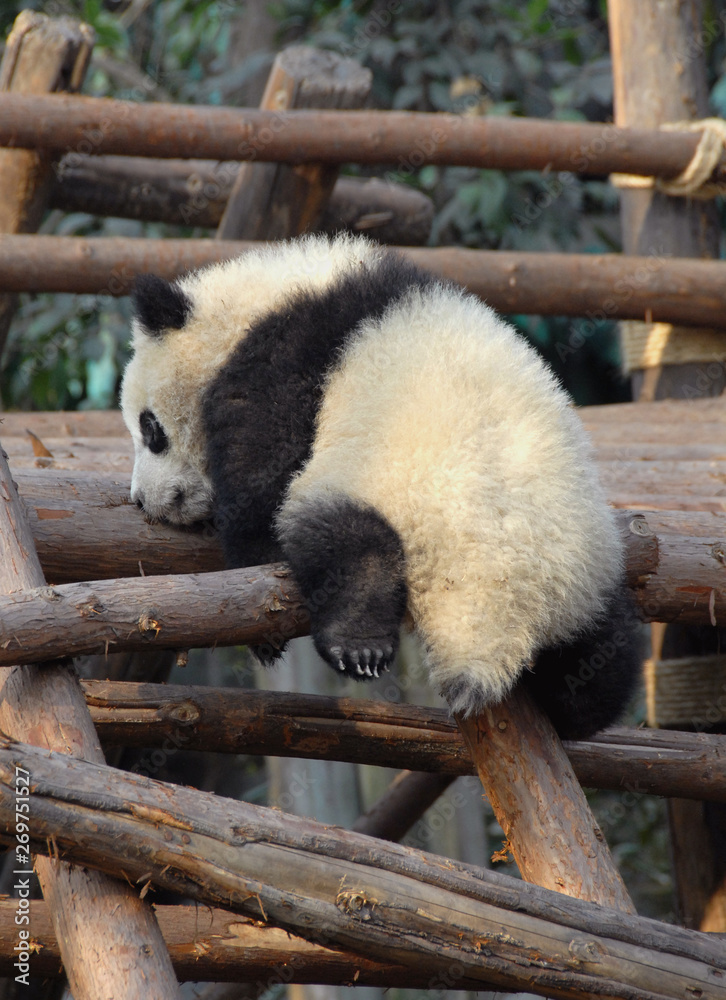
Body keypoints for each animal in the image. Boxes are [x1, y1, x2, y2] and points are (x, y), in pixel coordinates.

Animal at [120, 233, 641, 739]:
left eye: (150, 428)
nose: (144, 500)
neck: (256, 299)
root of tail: (496, 620)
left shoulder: (283, 353)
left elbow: (261, 469)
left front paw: (260, 611)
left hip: (399, 496)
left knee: (348, 544)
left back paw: (358, 643)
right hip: (590, 571)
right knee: (600, 671)